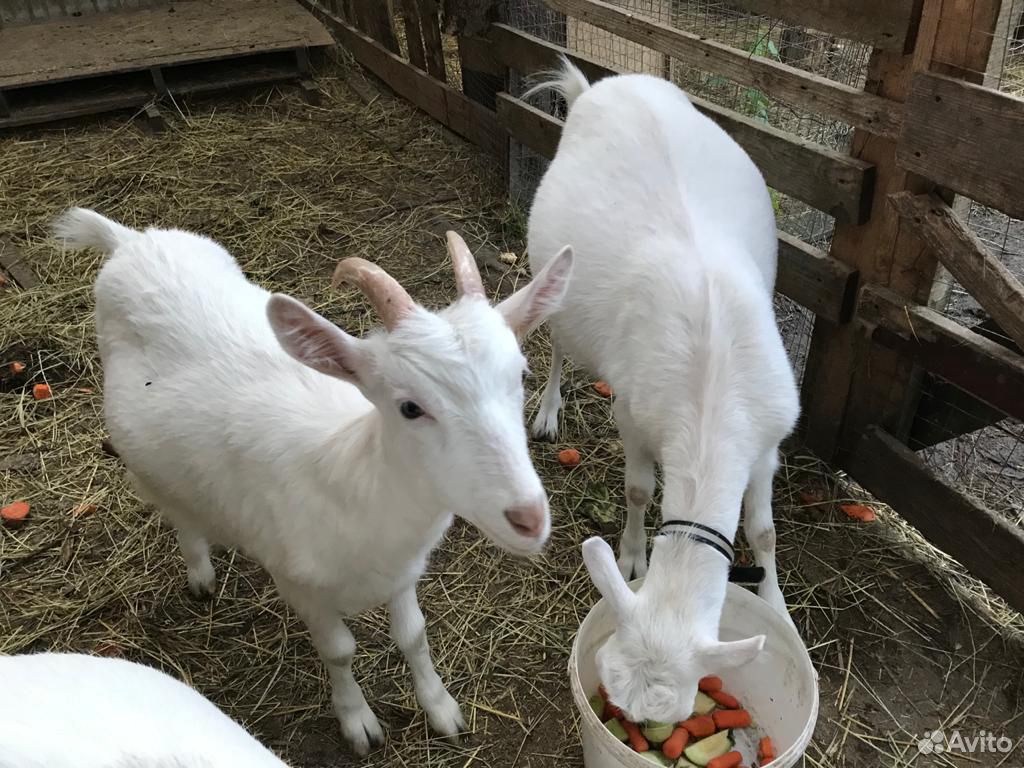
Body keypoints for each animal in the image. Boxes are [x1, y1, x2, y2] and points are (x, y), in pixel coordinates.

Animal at [53, 208, 574, 755]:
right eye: (410, 407)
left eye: (521, 375)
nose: (528, 518)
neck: (355, 482)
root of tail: (131, 239)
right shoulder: (299, 582)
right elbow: (339, 649)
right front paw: (358, 721)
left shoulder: (403, 571)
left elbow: (413, 634)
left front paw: (441, 709)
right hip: (140, 458)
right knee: (177, 510)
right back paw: (200, 575)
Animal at [524, 61, 800, 723]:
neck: (710, 395)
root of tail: (598, 86)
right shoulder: (634, 413)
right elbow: (638, 489)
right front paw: (631, 557)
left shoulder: (768, 441)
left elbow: (764, 531)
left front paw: (776, 600)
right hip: (556, 279)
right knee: (558, 344)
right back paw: (547, 411)